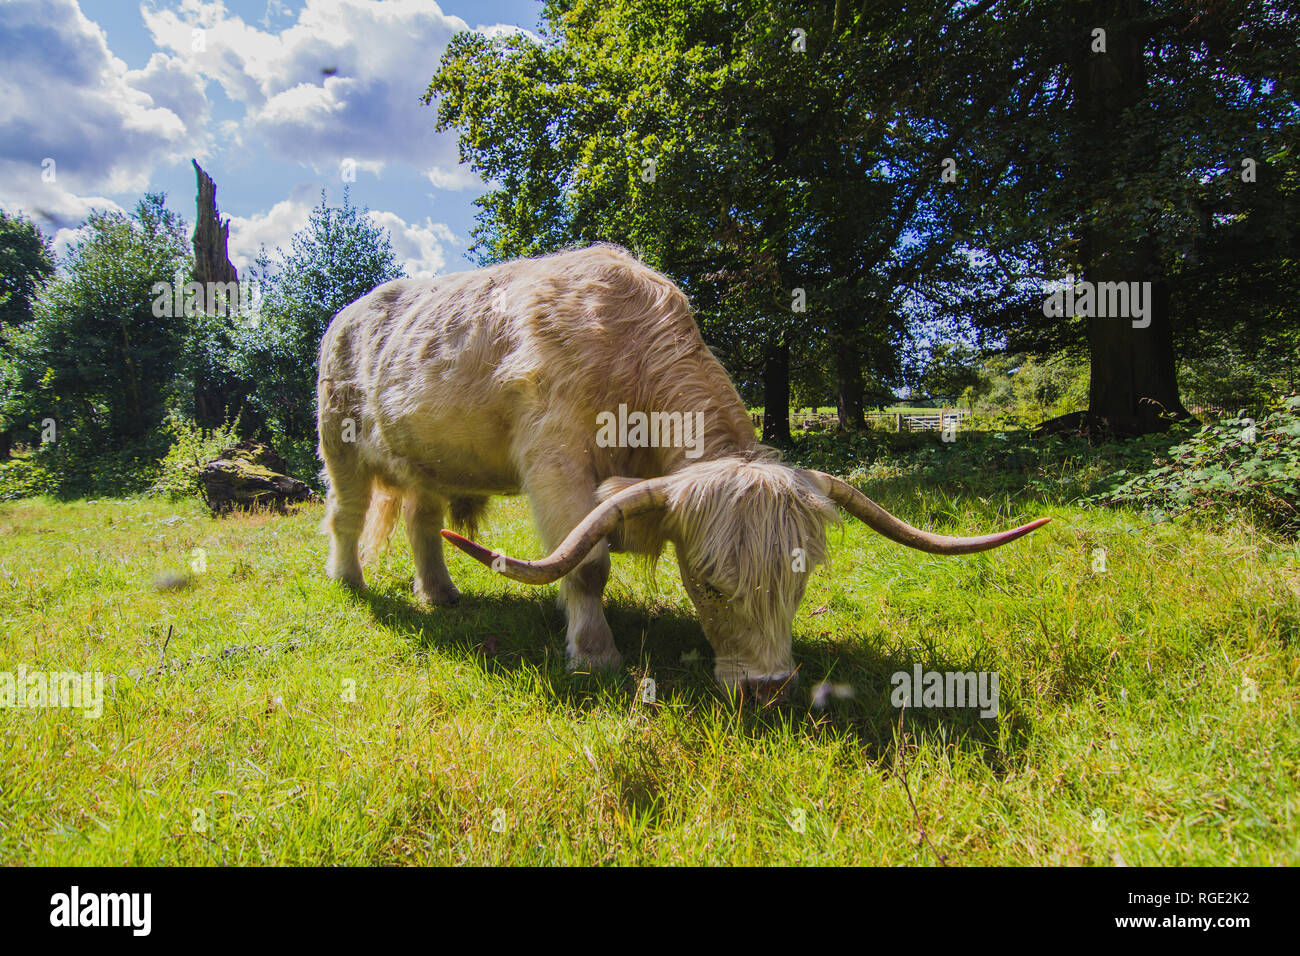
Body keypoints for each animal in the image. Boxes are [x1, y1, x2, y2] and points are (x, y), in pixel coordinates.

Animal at [316, 244, 1049, 696]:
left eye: (800, 582)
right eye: (710, 583)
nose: (768, 689)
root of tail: (351, 311)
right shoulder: (555, 466)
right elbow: (584, 564)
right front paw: (595, 653)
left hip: (426, 464)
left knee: (422, 521)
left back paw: (440, 593)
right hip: (339, 445)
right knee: (346, 516)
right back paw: (350, 582)